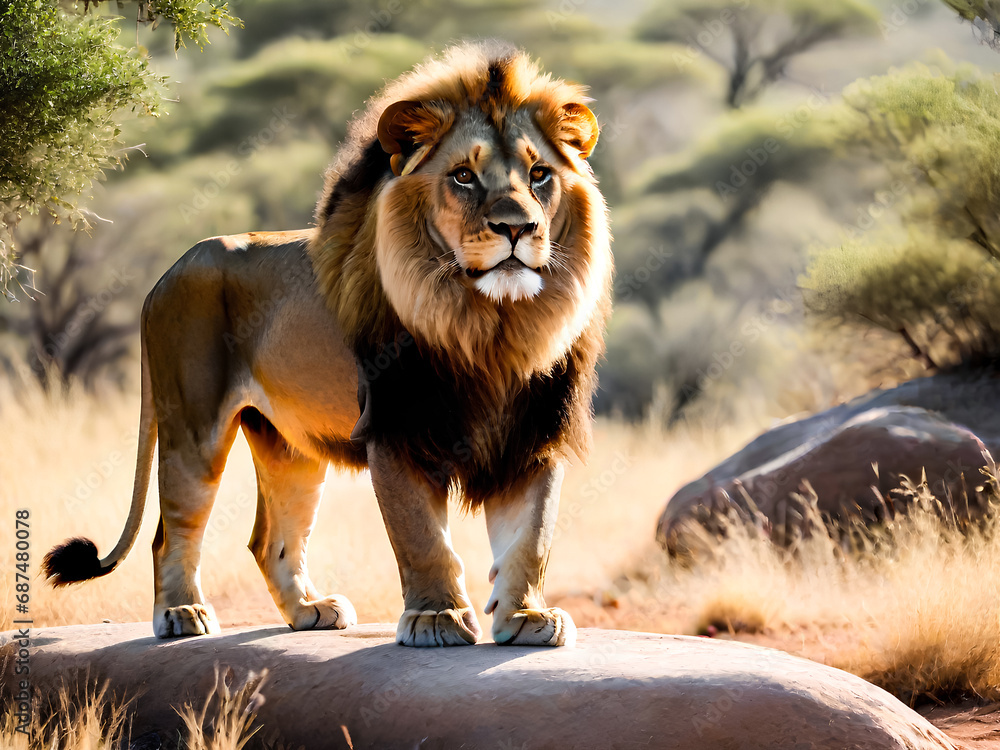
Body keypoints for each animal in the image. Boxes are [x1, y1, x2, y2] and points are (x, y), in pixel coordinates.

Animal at [43, 40, 613, 648]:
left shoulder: (534, 433)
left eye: (539, 174)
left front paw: (527, 615)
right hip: (192, 428)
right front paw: (435, 617)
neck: (491, 325)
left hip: (289, 443)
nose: (517, 227)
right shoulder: (395, 426)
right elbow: (421, 536)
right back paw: (181, 613)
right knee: (171, 530)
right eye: (463, 176)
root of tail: (167, 273)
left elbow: (531, 537)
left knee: (269, 539)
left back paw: (308, 610)